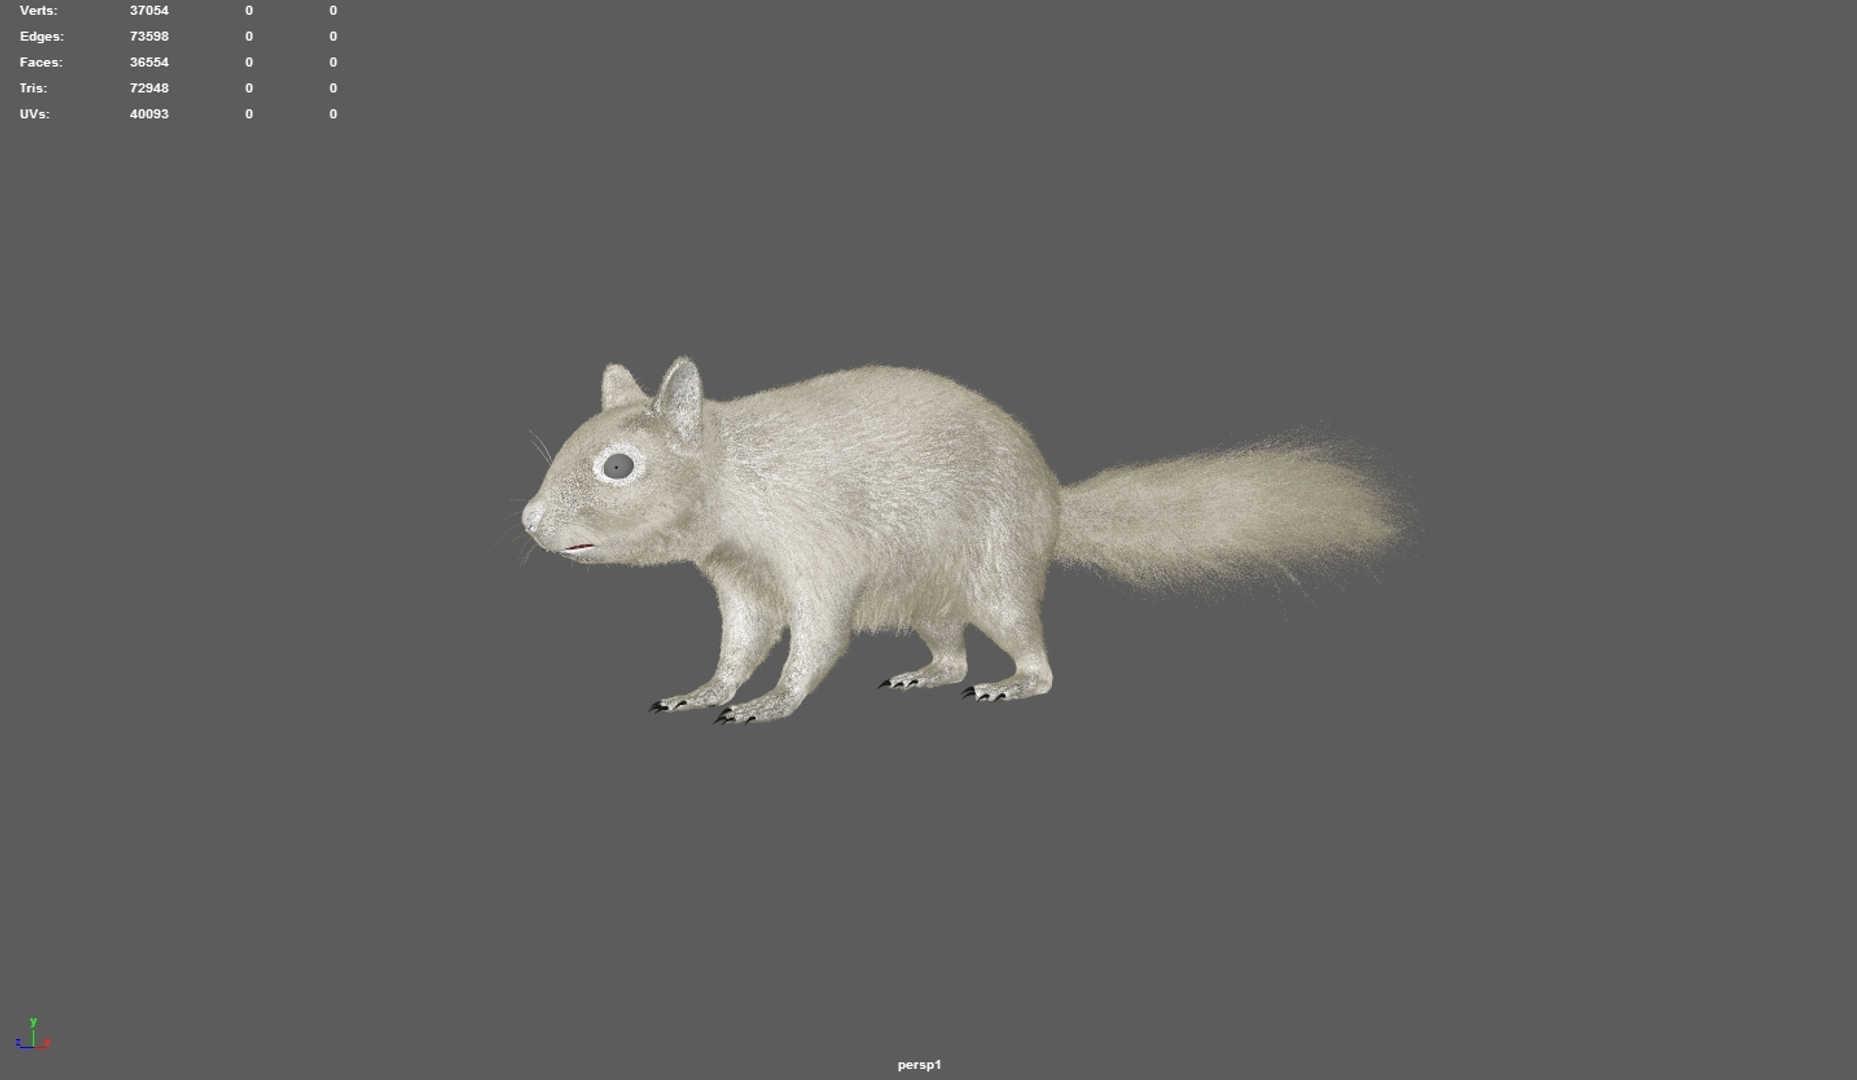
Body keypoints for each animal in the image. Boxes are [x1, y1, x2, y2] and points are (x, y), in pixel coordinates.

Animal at [521, 357, 1408, 724]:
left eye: (618, 465)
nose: (527, 520)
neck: (739, 472)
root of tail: (1052, 504)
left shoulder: (816, 554)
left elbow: (815, 637)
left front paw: (772, 701)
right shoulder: (738, 579)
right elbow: (738, 642)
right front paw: (707, 689)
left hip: (996, 575)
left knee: (1034, 660)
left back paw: (1011, 684)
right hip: (932, 598)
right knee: (950, 653)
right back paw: (926, 673)